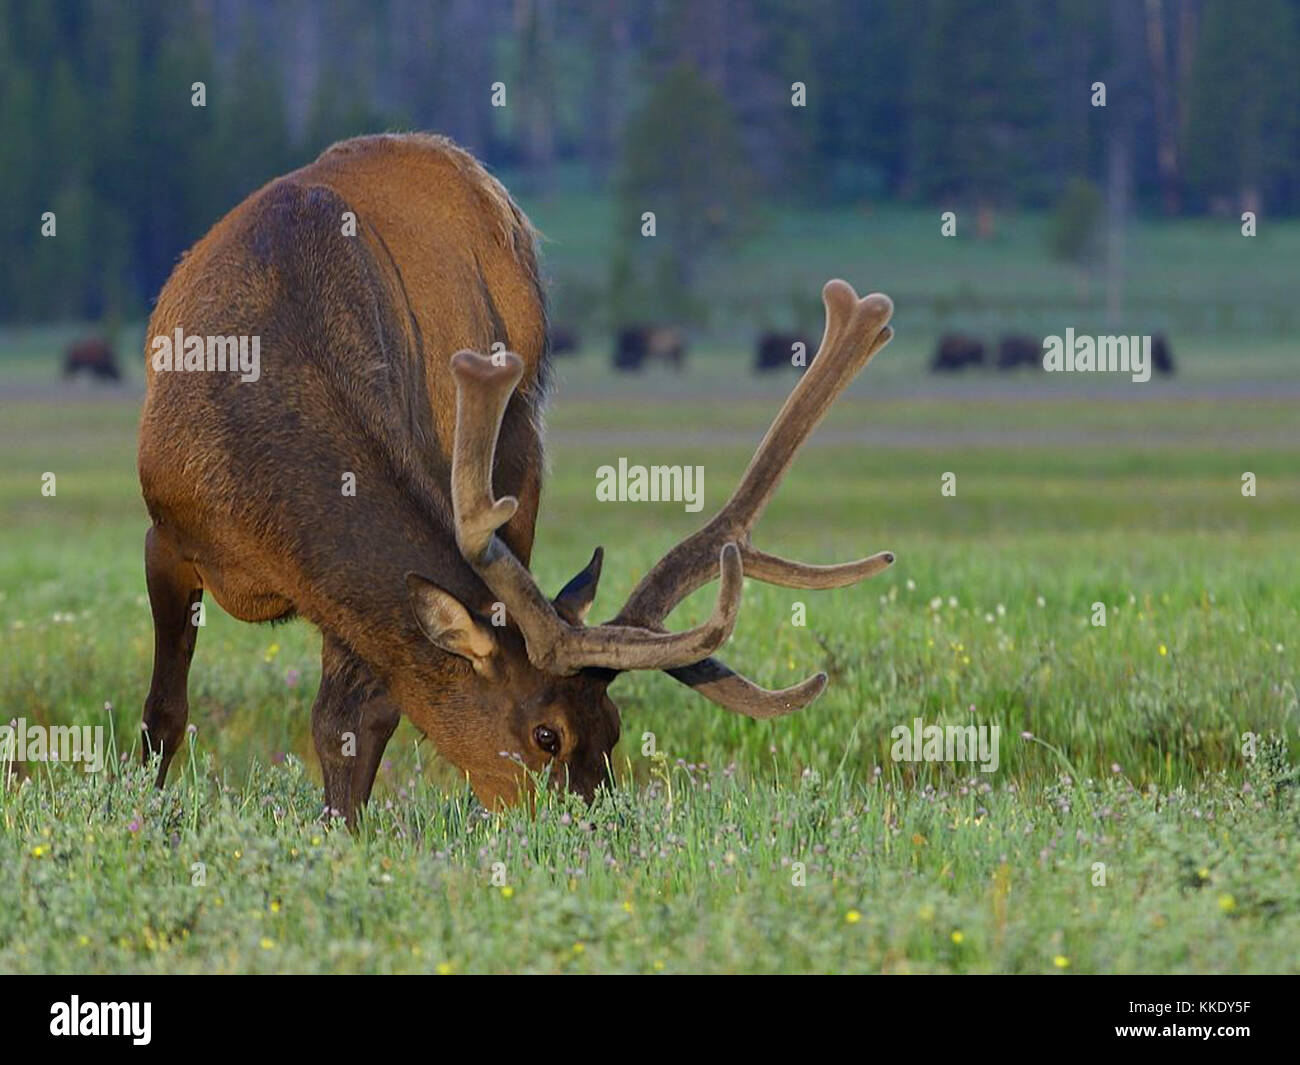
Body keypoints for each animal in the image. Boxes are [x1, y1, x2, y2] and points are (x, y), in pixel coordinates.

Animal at [137, 133, 896, 821]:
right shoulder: (166, 531)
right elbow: (165, 711)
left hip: (520, 451)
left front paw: (342, 832)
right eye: (546, 735)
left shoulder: (348, 603)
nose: (594, 829)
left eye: (614, 730)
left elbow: (350, 725)